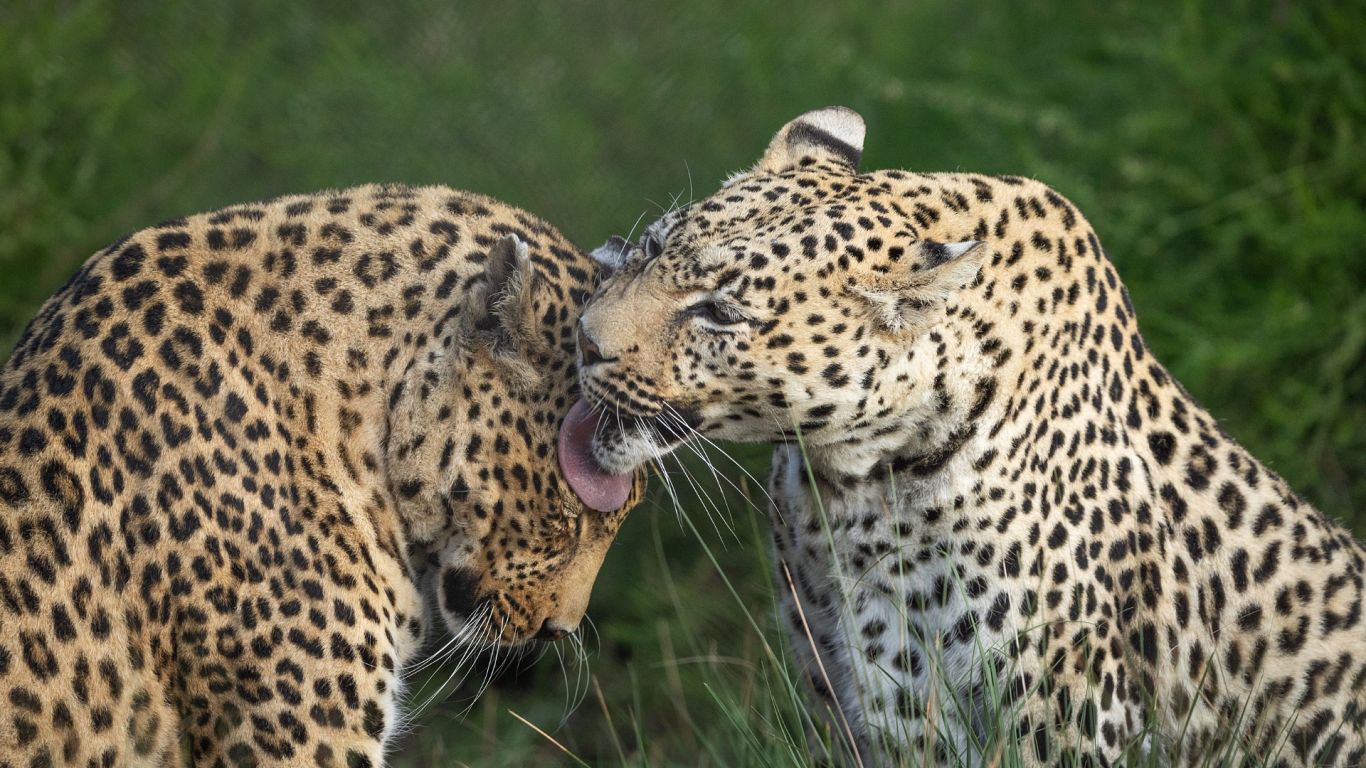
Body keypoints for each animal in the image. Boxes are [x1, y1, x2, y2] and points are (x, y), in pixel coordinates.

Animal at [571, 107, 1366, 766]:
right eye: (648, 248)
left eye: (720, 312)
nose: (583, 339)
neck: (846, 486)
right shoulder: (852, 694)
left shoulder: (1060, 721)